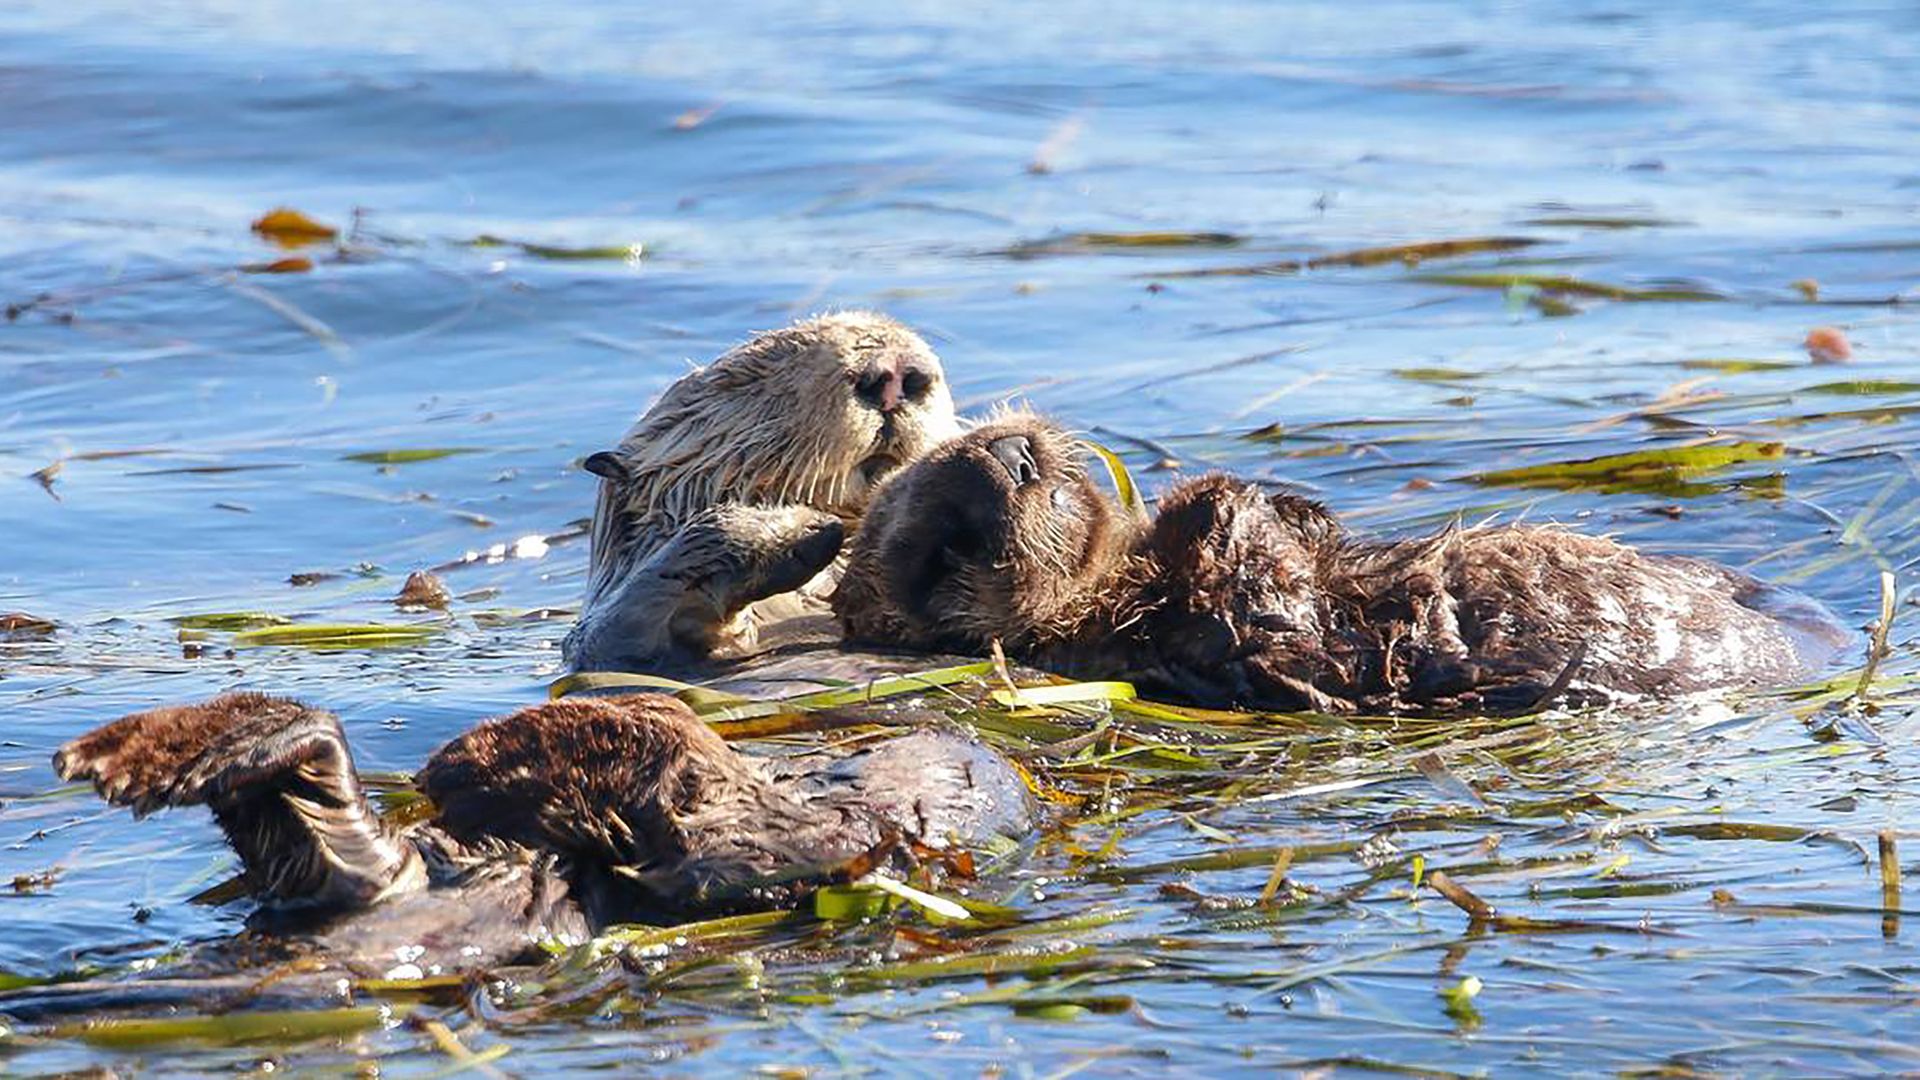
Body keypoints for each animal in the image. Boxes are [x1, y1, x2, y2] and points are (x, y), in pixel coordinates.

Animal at [833, 415, 1851, 716]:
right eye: (947, 551)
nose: (1009, 458)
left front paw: (1247, 497)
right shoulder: (1194, 646)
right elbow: (1267, 606)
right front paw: (1212, 508)